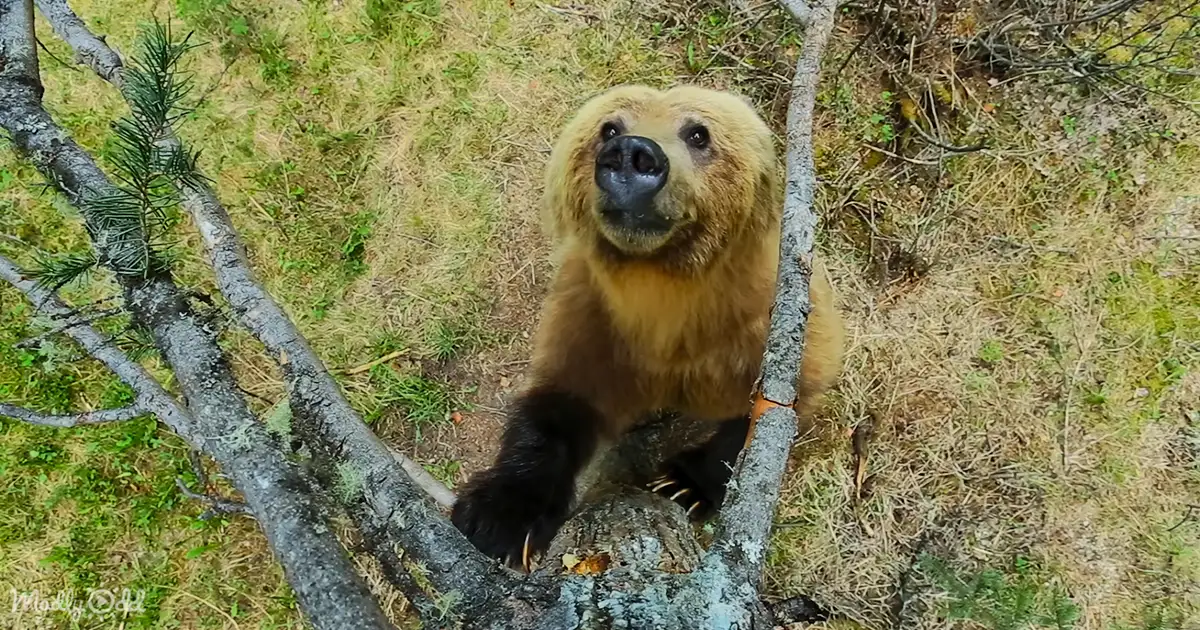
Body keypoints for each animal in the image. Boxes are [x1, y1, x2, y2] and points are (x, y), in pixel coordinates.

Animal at [450, 84, 845, 568]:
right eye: (608, 127)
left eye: (698, 132)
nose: (631, 154)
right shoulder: (596, 323)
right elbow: (559, 404)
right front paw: (500, 516)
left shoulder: (758, 328)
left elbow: (770, 410)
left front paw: (683, 483)